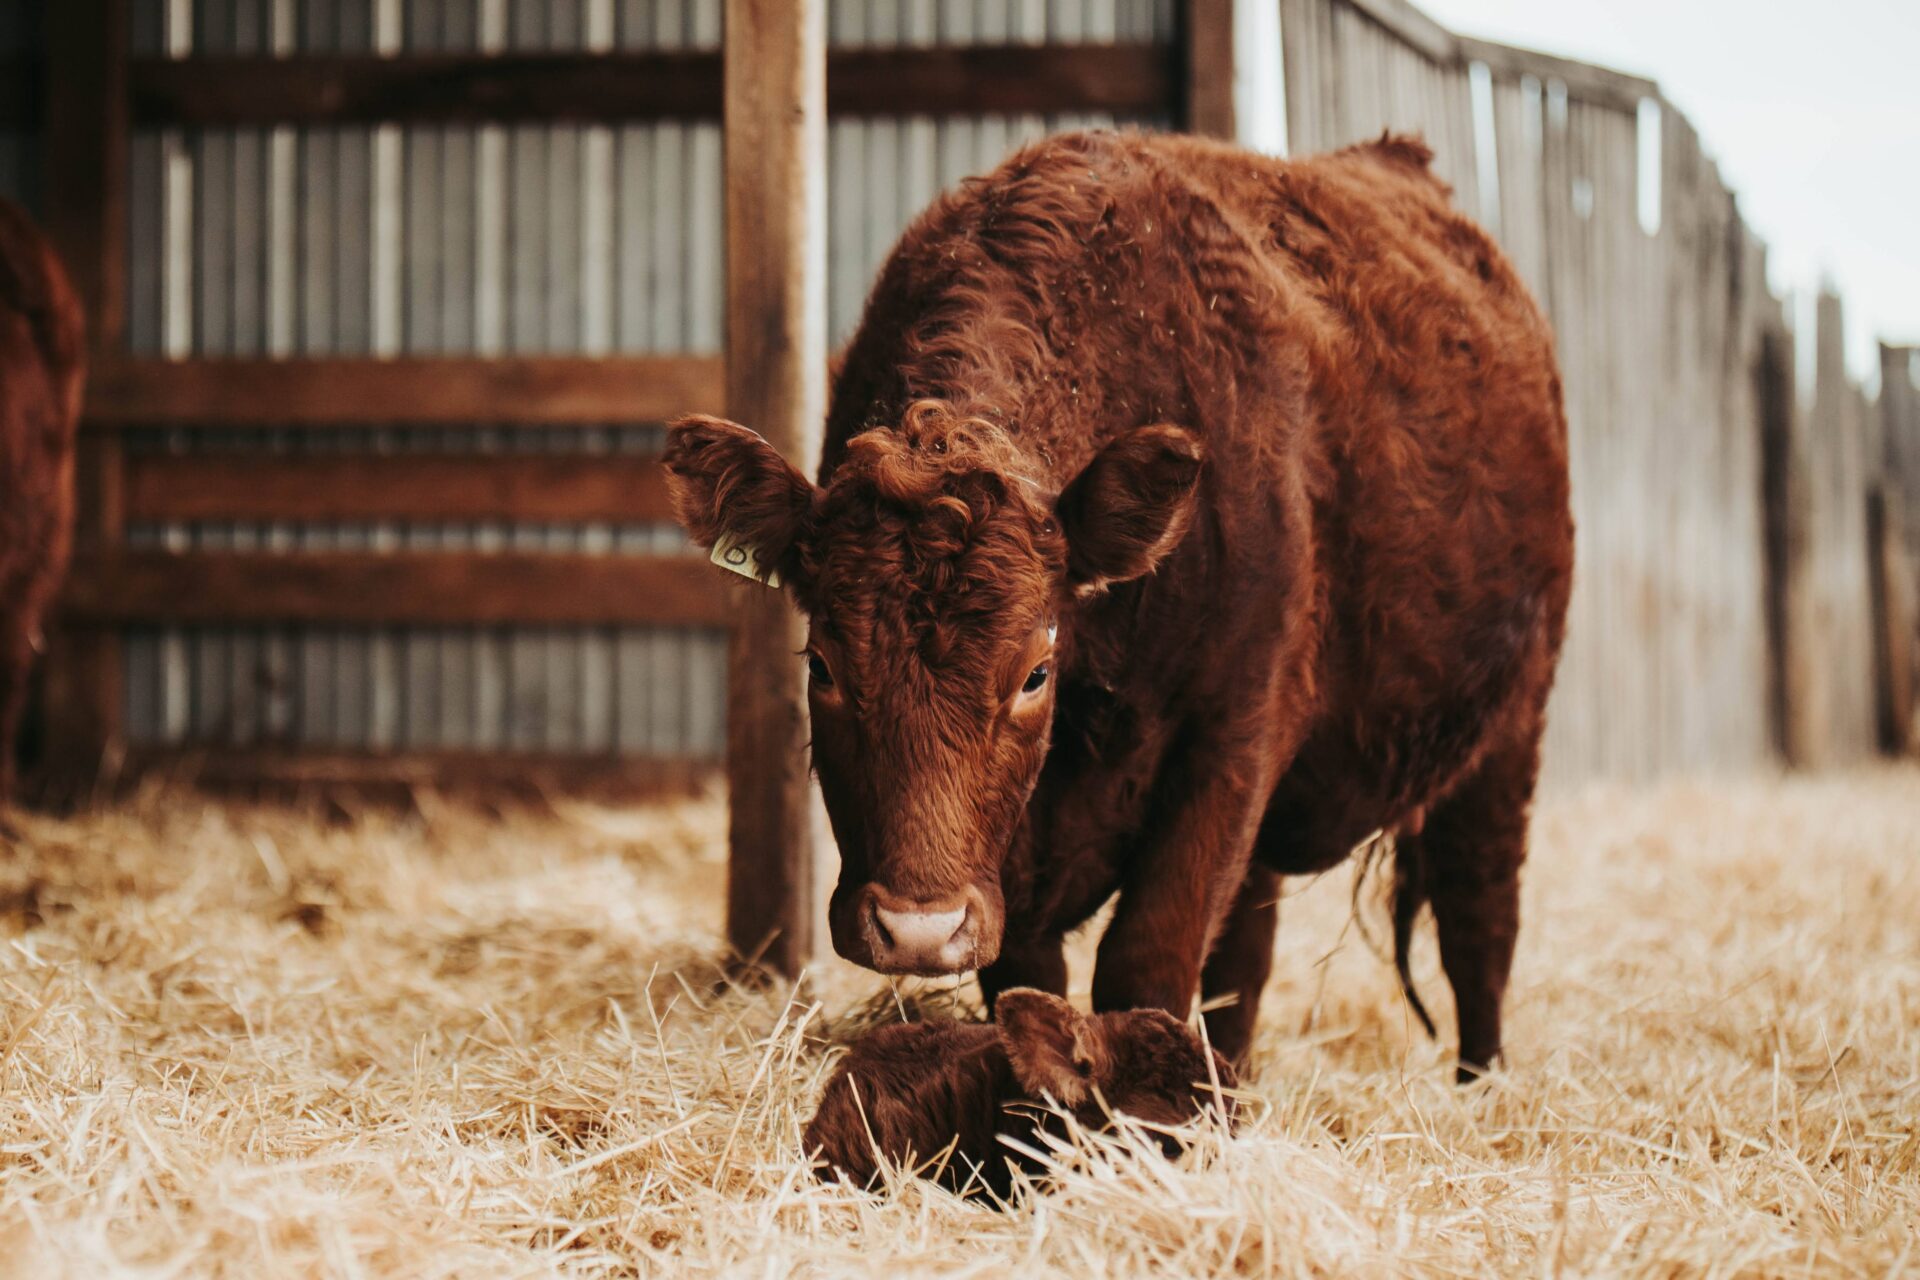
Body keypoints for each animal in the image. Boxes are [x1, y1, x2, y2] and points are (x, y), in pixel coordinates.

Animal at [665, 129, 1573, 1079]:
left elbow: (1148, 961)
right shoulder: (1020, 865)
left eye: (1035, 673)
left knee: (1479, 917)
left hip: (1512, 721)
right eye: (825, 666)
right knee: (1247, 957)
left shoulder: (1234, 736)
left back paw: (1480, 1084)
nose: (919, 930)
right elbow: (1030, 982)